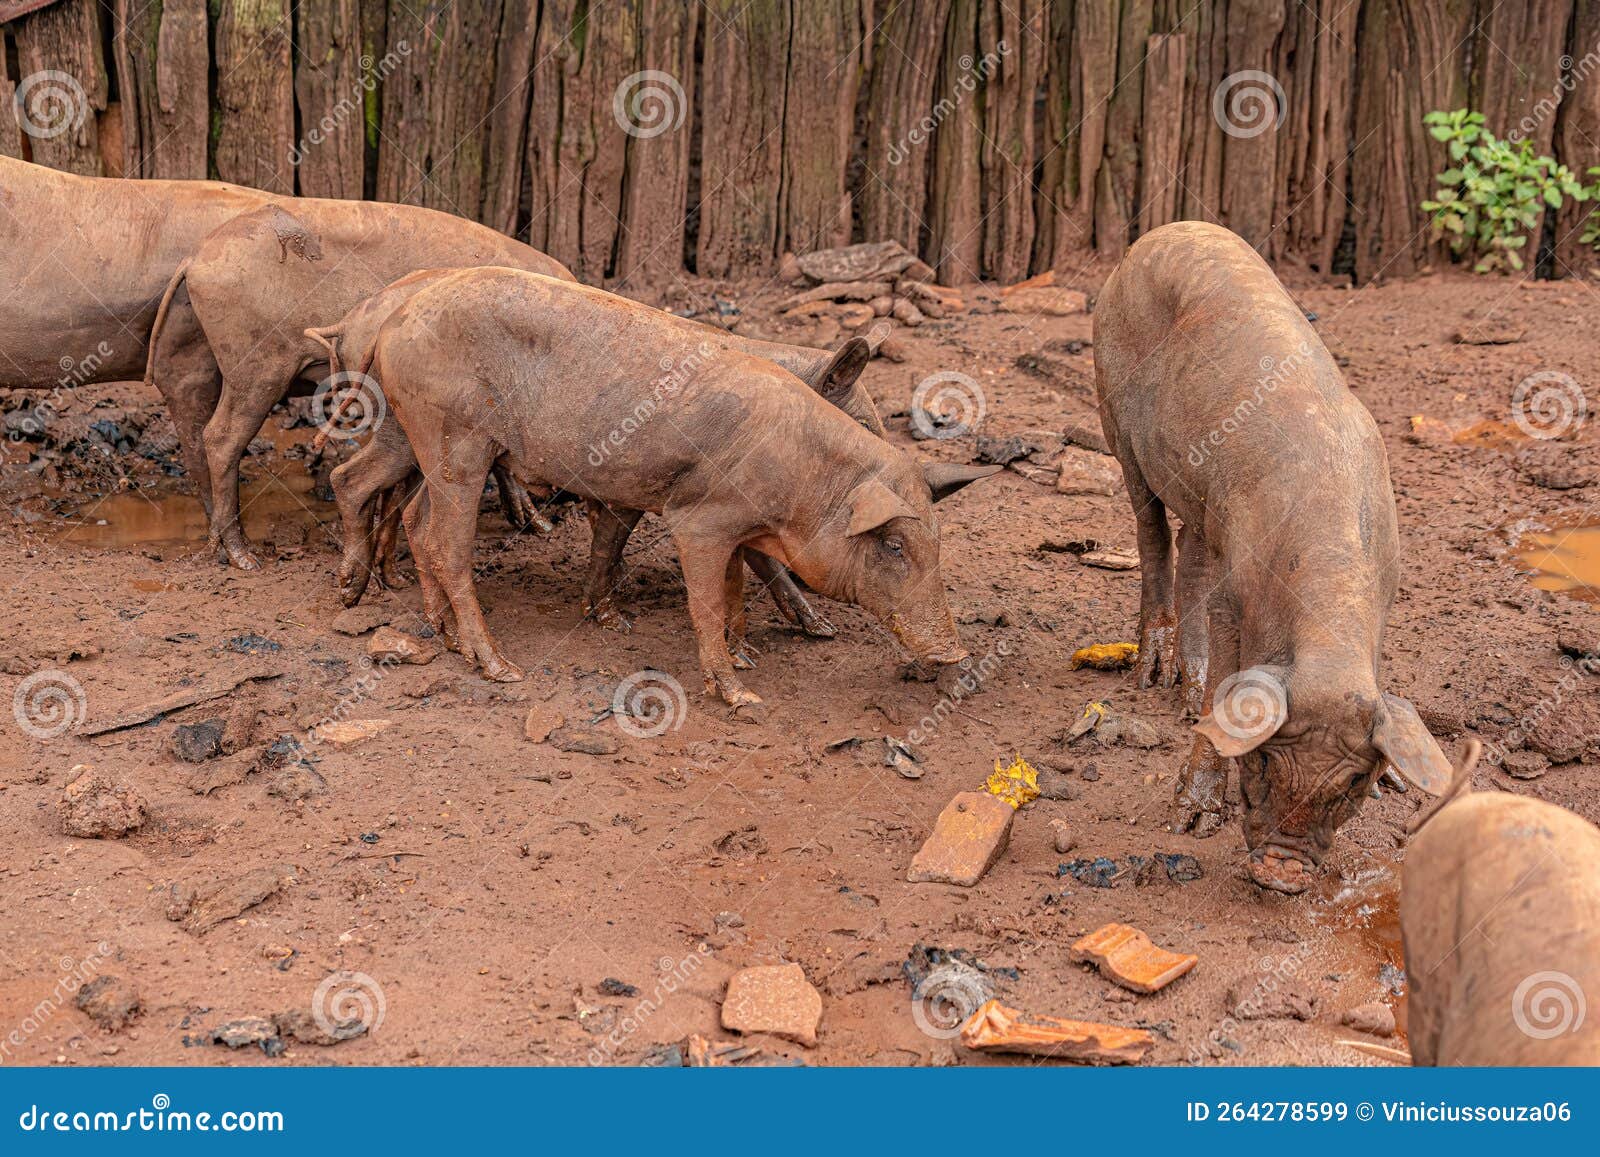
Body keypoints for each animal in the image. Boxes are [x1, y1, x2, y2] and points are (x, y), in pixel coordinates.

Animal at [343, 267, 970, 699]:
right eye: (892, 545)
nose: (954, 652)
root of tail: (393, 319)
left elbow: (701, 573)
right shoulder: (692, 512)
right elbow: (729, 582)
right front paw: (764, 669)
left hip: (415, 435)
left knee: (382, 496)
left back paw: (425, 624)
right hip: (456, 439)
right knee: (441, 540)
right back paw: (498, 667)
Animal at [1094, 221, 1452, 893]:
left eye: (1352, 788)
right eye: (1260, 764)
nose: (1282, 874)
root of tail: (1155, 234)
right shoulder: (1235, 595)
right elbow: (1226, 692)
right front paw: (1189, 821)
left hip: (1204, 498)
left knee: (1191, 548)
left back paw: (1185, 692)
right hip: (1113, 415)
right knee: (1151, 530)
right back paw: (1151, 677)